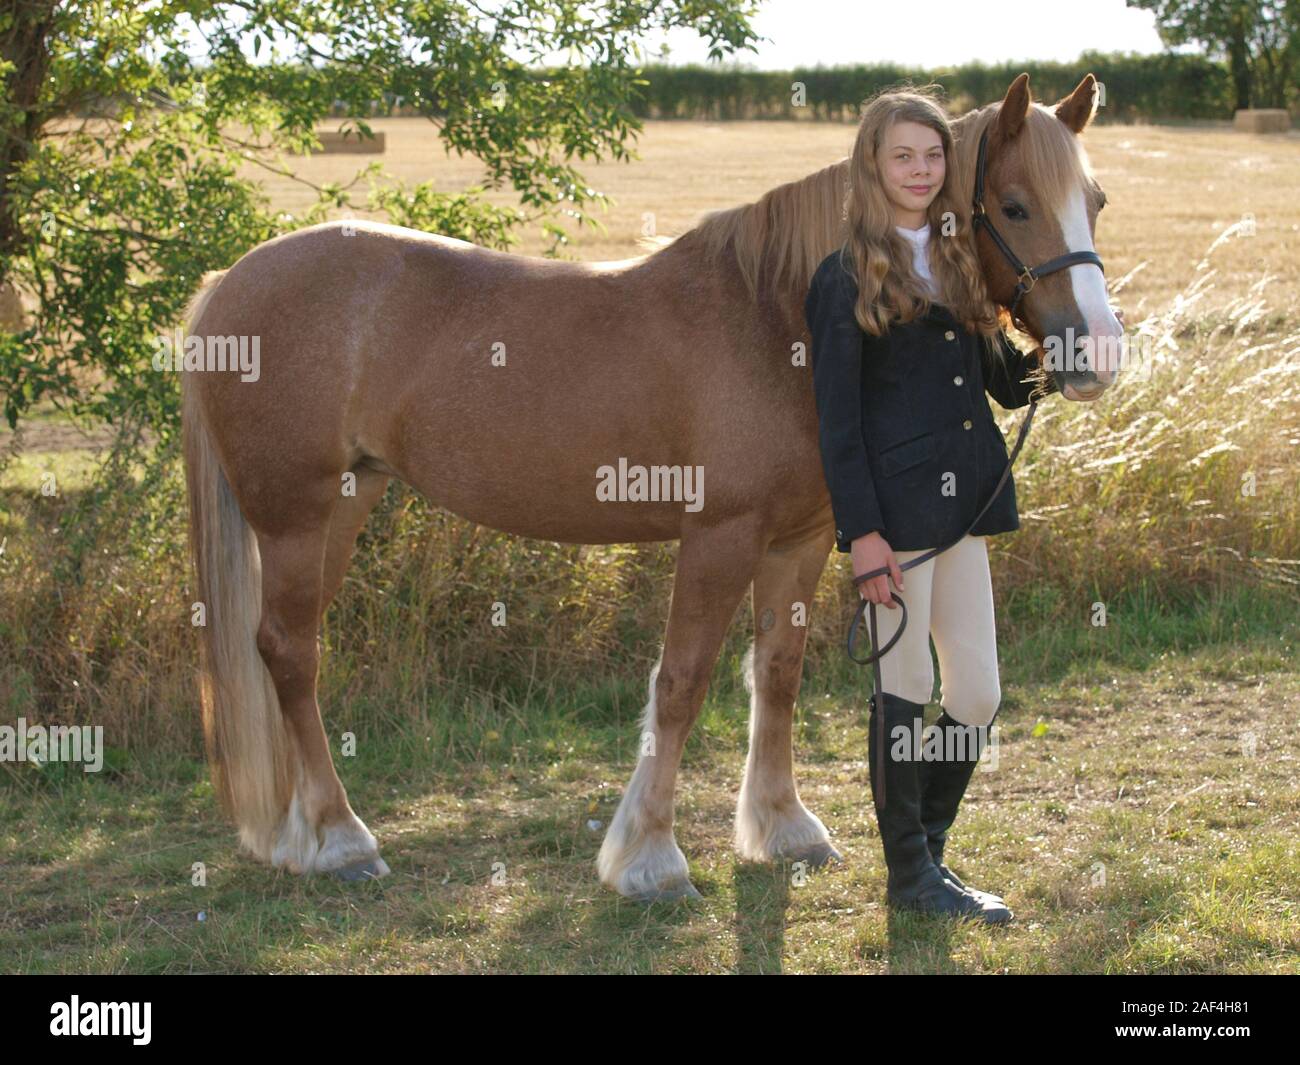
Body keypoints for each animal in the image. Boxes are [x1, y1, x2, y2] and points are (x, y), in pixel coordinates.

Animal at [181, 72, 1122, 899]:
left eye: (1098, 201)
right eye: (1014, 205)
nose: (1098, 351)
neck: (777, 315)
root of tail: (228, 286)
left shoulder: (799, 539)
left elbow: (777, 671)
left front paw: (785, 828)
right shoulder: (719, 535)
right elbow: (682, 683)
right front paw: (651, 858)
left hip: (348, 499)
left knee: (281, 647)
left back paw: (303, 832)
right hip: (297, 514)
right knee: (293, 653)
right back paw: (341, 838)